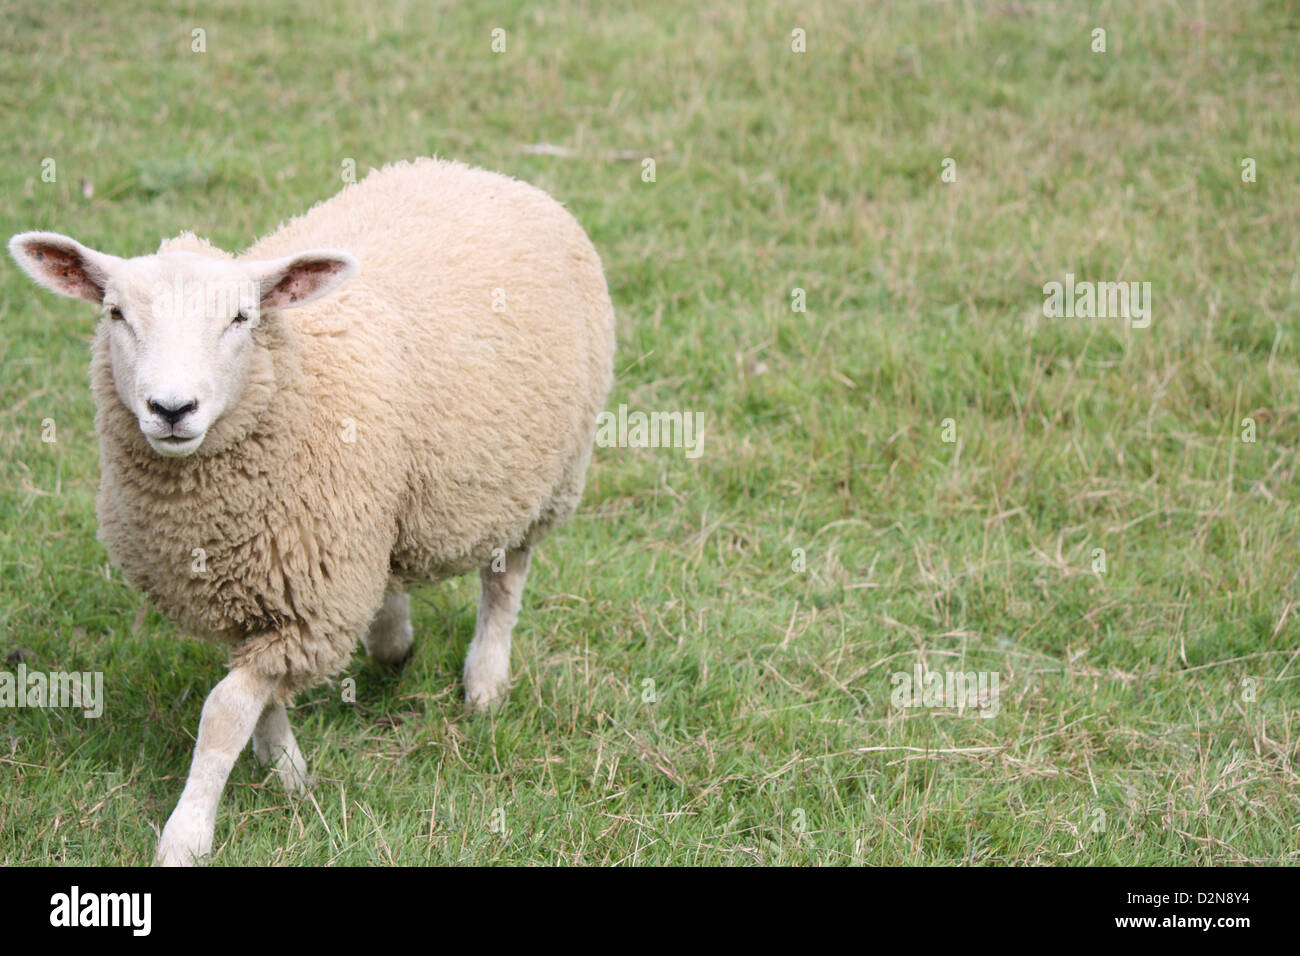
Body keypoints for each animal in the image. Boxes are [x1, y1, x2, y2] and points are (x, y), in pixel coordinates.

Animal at [8, 158, 616, 866]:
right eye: (114, 312)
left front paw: (188, 832)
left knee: (505, 579)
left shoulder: (306, 600)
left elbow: (224, 712)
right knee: (393, 575)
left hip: (541, 478)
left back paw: (485, 681)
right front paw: (286, 769)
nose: (171, 408)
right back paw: (391, 637)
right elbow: (256, 695)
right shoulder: (257, 586)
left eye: (241, 317)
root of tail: (479, 172)